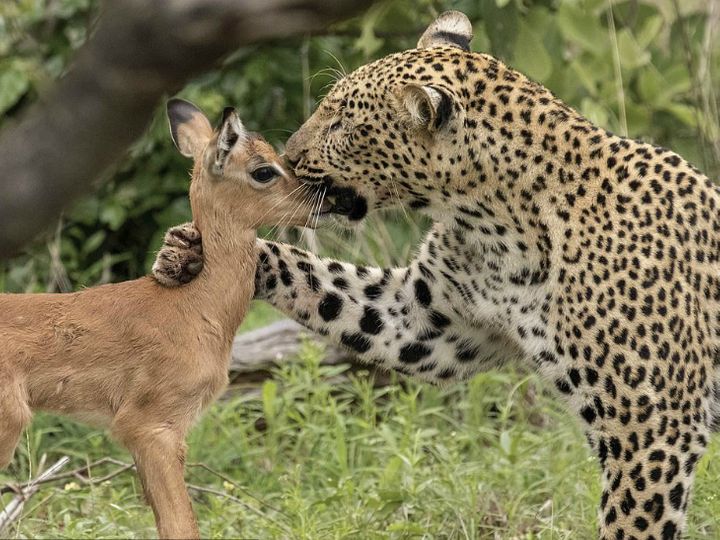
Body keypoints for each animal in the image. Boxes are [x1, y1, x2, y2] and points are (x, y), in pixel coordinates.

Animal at [151, 11, 720, 539]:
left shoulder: (649, 429)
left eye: (342, 125)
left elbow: (631, 524)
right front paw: (189, 251)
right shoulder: (426, 318)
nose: (289, 158)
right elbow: (324, 284)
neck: (496, 226)